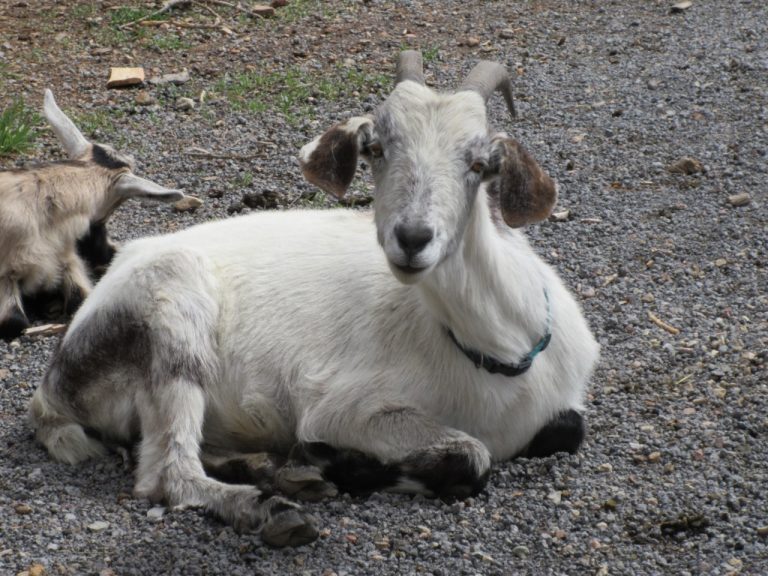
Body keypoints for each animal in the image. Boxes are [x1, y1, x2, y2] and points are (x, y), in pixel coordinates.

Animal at [29, 52, 599, 547]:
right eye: (376, 150)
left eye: (479, 163)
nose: (413, 238)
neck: (499, 351)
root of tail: (51, 389)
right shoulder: (344, 409)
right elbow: (472, 456)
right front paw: (340, 464)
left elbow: (570, 429)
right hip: (172, 318)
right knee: (167, 474)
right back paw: (268, 506)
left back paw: (267, 469)